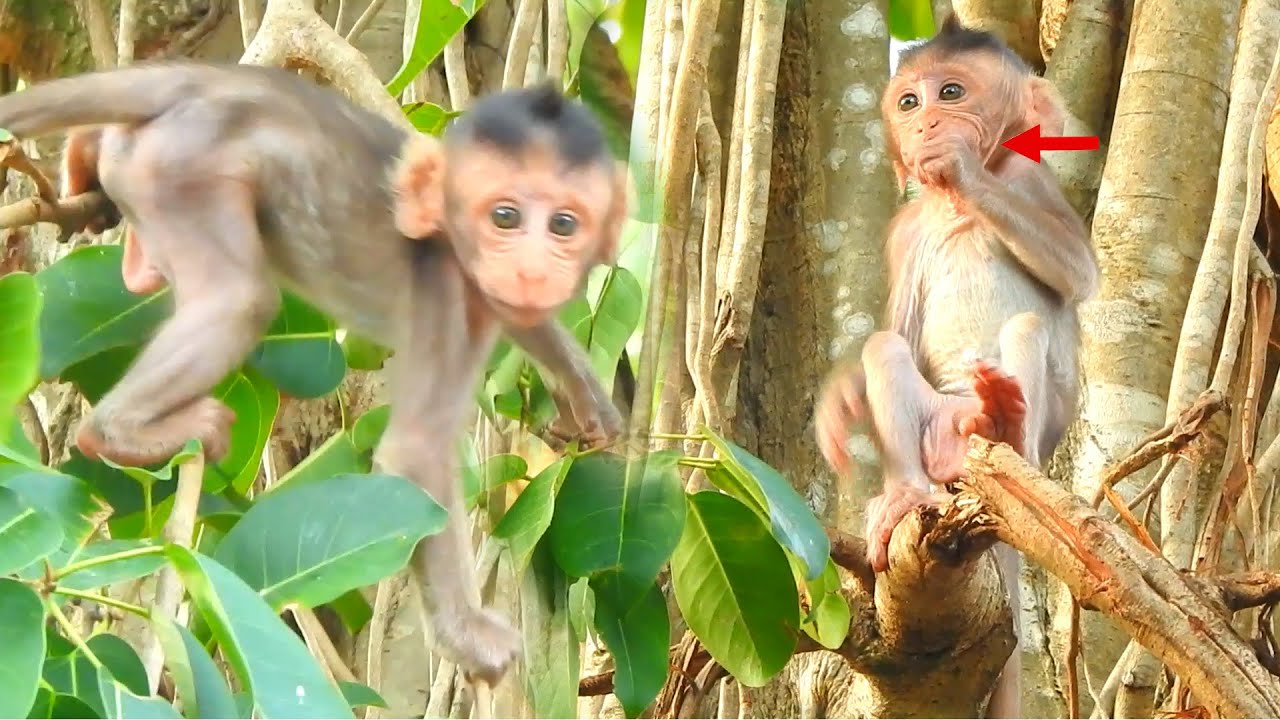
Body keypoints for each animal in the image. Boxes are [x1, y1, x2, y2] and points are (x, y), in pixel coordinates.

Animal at [0, 63, 628, 688]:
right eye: (505, 216)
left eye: (564, 225)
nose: (533, 268)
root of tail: (201, 81)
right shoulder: (444, 293)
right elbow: (415, 452)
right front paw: (466, 635)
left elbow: (527, 322)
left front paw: (582, 388)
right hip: (179, 171)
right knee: (238, 300)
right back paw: (116, 432)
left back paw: (90, 167)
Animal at [813, 17, 1097, 718]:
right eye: (909, 102)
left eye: (951, 92)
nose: (926, 127)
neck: (952, 209)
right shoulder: (905, 231)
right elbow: (898, 331)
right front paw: (839, 402)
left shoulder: (1028, 182)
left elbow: (1078, 273)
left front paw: (961, 162)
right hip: (936, 428)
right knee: (884, 353)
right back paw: (905, 494)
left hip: (1032, 434)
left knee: (1025, 330)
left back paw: (1003, 425)